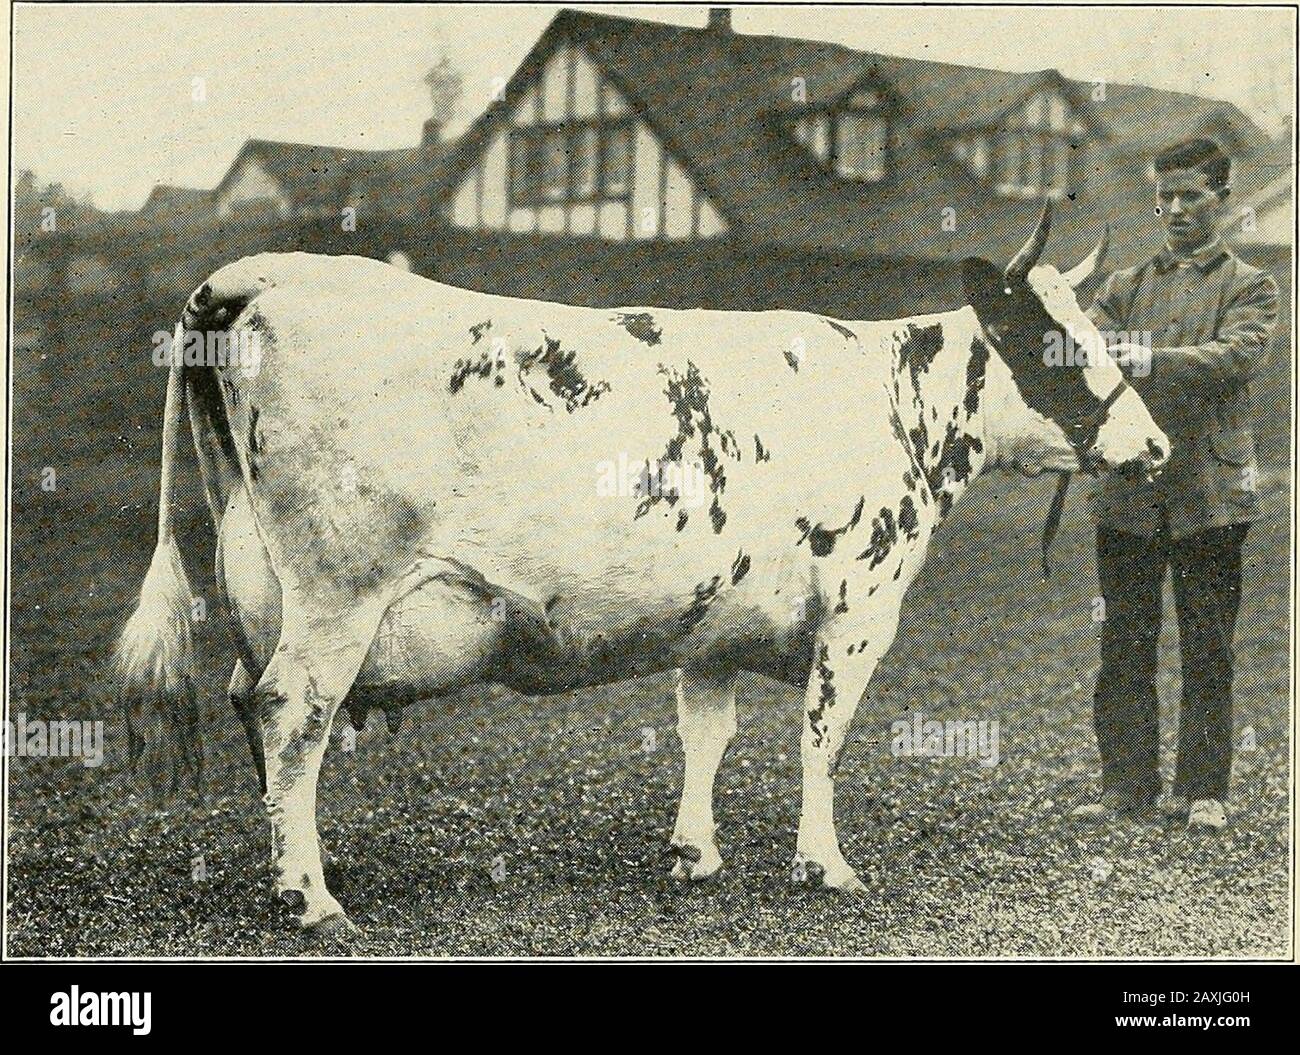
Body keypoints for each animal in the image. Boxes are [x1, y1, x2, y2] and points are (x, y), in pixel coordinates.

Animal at [115, 204, 1169, 936]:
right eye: (1057, 343)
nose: (1157, 445)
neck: (891, 399)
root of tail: (260, 273)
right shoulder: (861, 607)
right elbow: (821, 738)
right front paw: (823, 864)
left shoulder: (715, 616)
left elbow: (707, 731)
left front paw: (694, 852)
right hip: (341, 587)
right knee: (293, 711)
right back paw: (311, 895)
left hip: (263, 581)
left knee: (253, 700)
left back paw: (301, 865)